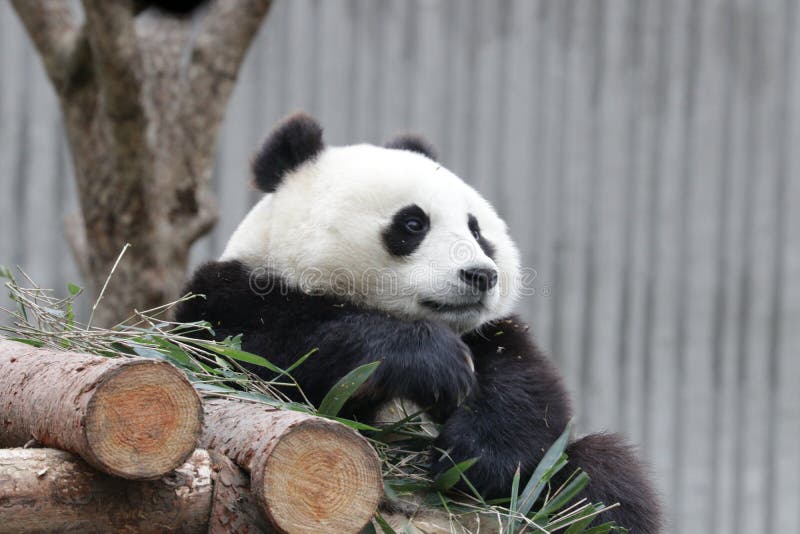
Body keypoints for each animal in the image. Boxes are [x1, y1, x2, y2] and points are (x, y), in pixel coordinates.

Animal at [176, 113, 662, 533]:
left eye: (477, 229)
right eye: (413, 222)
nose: (481, 275)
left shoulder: (490, 333)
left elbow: (530, 395)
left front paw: (474, 458)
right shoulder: (226, 301)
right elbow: (275, 356)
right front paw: (431, 361)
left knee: (599, 478)